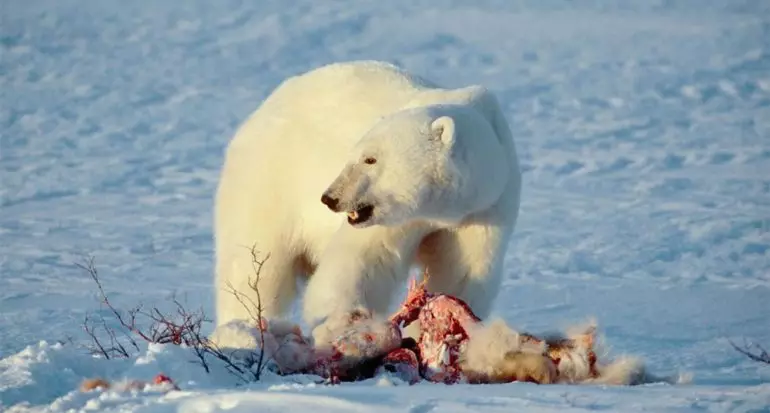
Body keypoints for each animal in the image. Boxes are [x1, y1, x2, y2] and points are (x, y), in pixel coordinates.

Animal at [210, 59, 520, 346]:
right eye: (355, 155)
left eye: (370, 159)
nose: (330, 197)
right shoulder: (395, 219)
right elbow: (362, 260)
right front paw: (342, 325)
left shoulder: (486, 209)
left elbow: (462, 273)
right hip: (270, 180)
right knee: (256, 264)